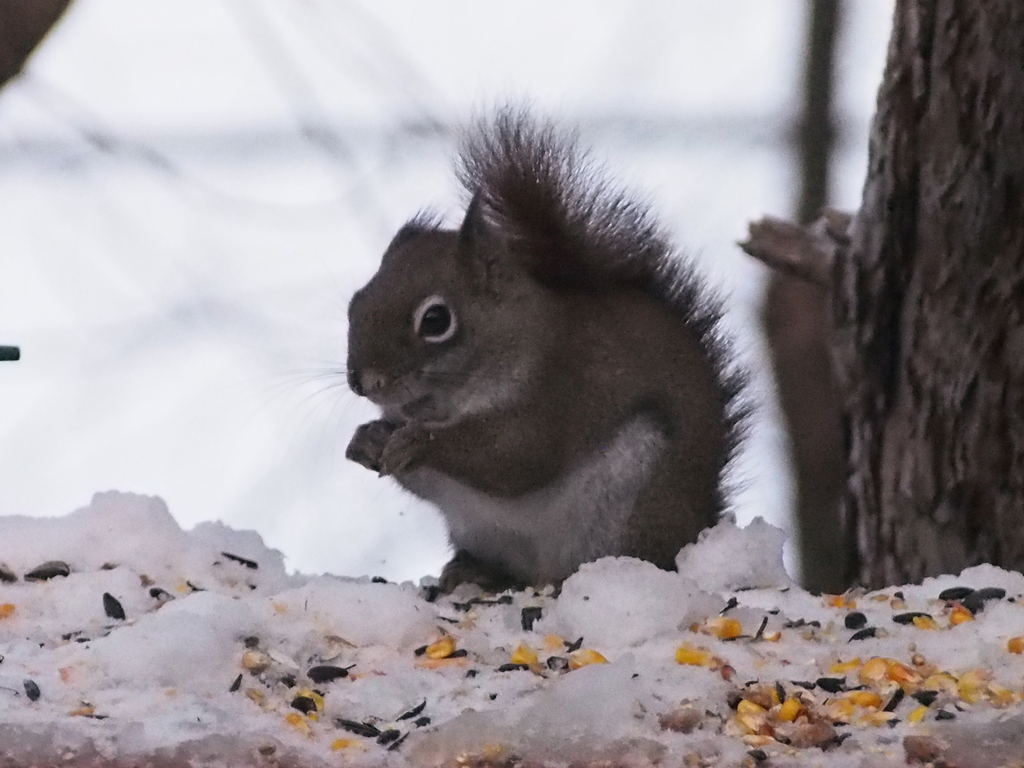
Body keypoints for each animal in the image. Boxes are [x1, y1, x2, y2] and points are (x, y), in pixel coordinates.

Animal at [345, 110, 746, 593]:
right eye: (355, 303)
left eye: (436, 320)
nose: (362, 381)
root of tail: (698, 525)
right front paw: (368, 439)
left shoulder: (557, 397)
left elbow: (514, 457)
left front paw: (417, 442)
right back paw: (474, 571)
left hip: (628, 504)